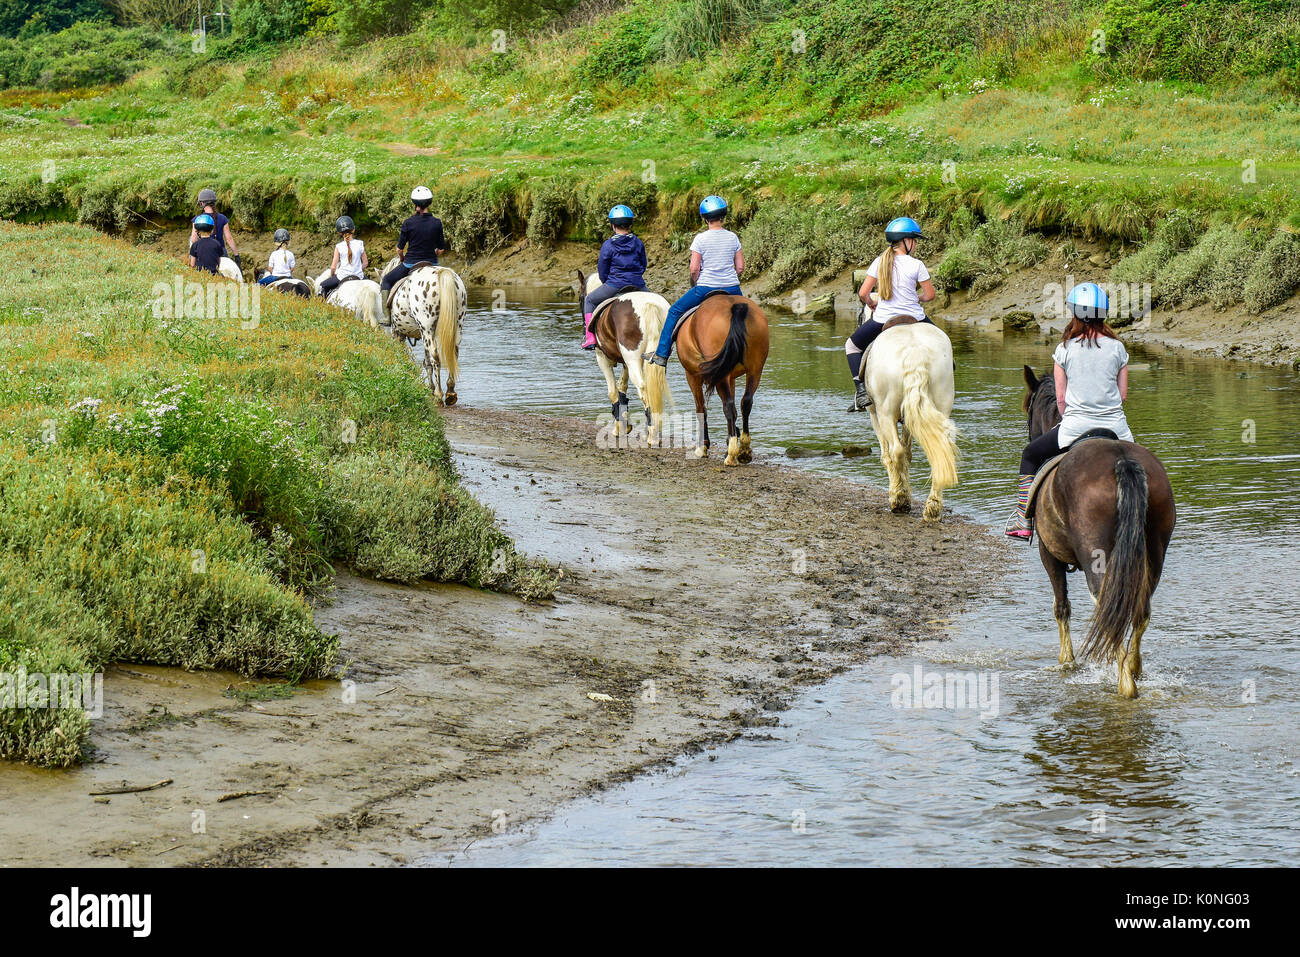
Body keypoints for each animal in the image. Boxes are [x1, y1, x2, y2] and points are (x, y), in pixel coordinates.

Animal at [380, 258, 467, 406]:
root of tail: (441, 273)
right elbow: (426, 363)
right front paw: (430, 389)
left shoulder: (398, 333)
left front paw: (431, 390)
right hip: (456, 326)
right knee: (453, 354)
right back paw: (450, 393)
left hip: (427, 328)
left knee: (435, 357)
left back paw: (439, 395)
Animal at [576, 270, 672, 442]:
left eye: (581, 297)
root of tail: (650, 305)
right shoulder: (626, 363)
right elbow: (622, 388)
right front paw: (624, 424)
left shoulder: (602, 359)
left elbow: (613, 391)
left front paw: (618, 428)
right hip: (654, 360)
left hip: (632, 359)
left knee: (643, 387)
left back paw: (651, 433)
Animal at [643, 292, 768, 466]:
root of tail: (736, 307)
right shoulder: (730, 376)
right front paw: (730, 440)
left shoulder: (692, 375)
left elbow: (701, 408)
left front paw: (703, 447)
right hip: (755, 370)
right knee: (745, 403)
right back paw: (744, 450)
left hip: (720, 374)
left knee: (728, 406)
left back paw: (731, 455)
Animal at [861, 319, 959, 522]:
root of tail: (915, 350)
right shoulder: (909, 417)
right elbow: (908, 453)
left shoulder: (875, 415)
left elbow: (888, 455)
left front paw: (901, 495)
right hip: (940, 404)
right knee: (941, 452)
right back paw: (932, 509)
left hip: (886, 413)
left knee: (895, 451)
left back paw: (898, 500)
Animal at [1021, 365, 1176, 698]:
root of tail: (1122, 460)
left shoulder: (1047, 553)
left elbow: (1061, 606)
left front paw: (1067, 662)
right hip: (1155, 551)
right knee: (1140, 609)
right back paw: (1134, 668)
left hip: (1097, 555)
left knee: (1110, 606)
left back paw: (1125, 685)